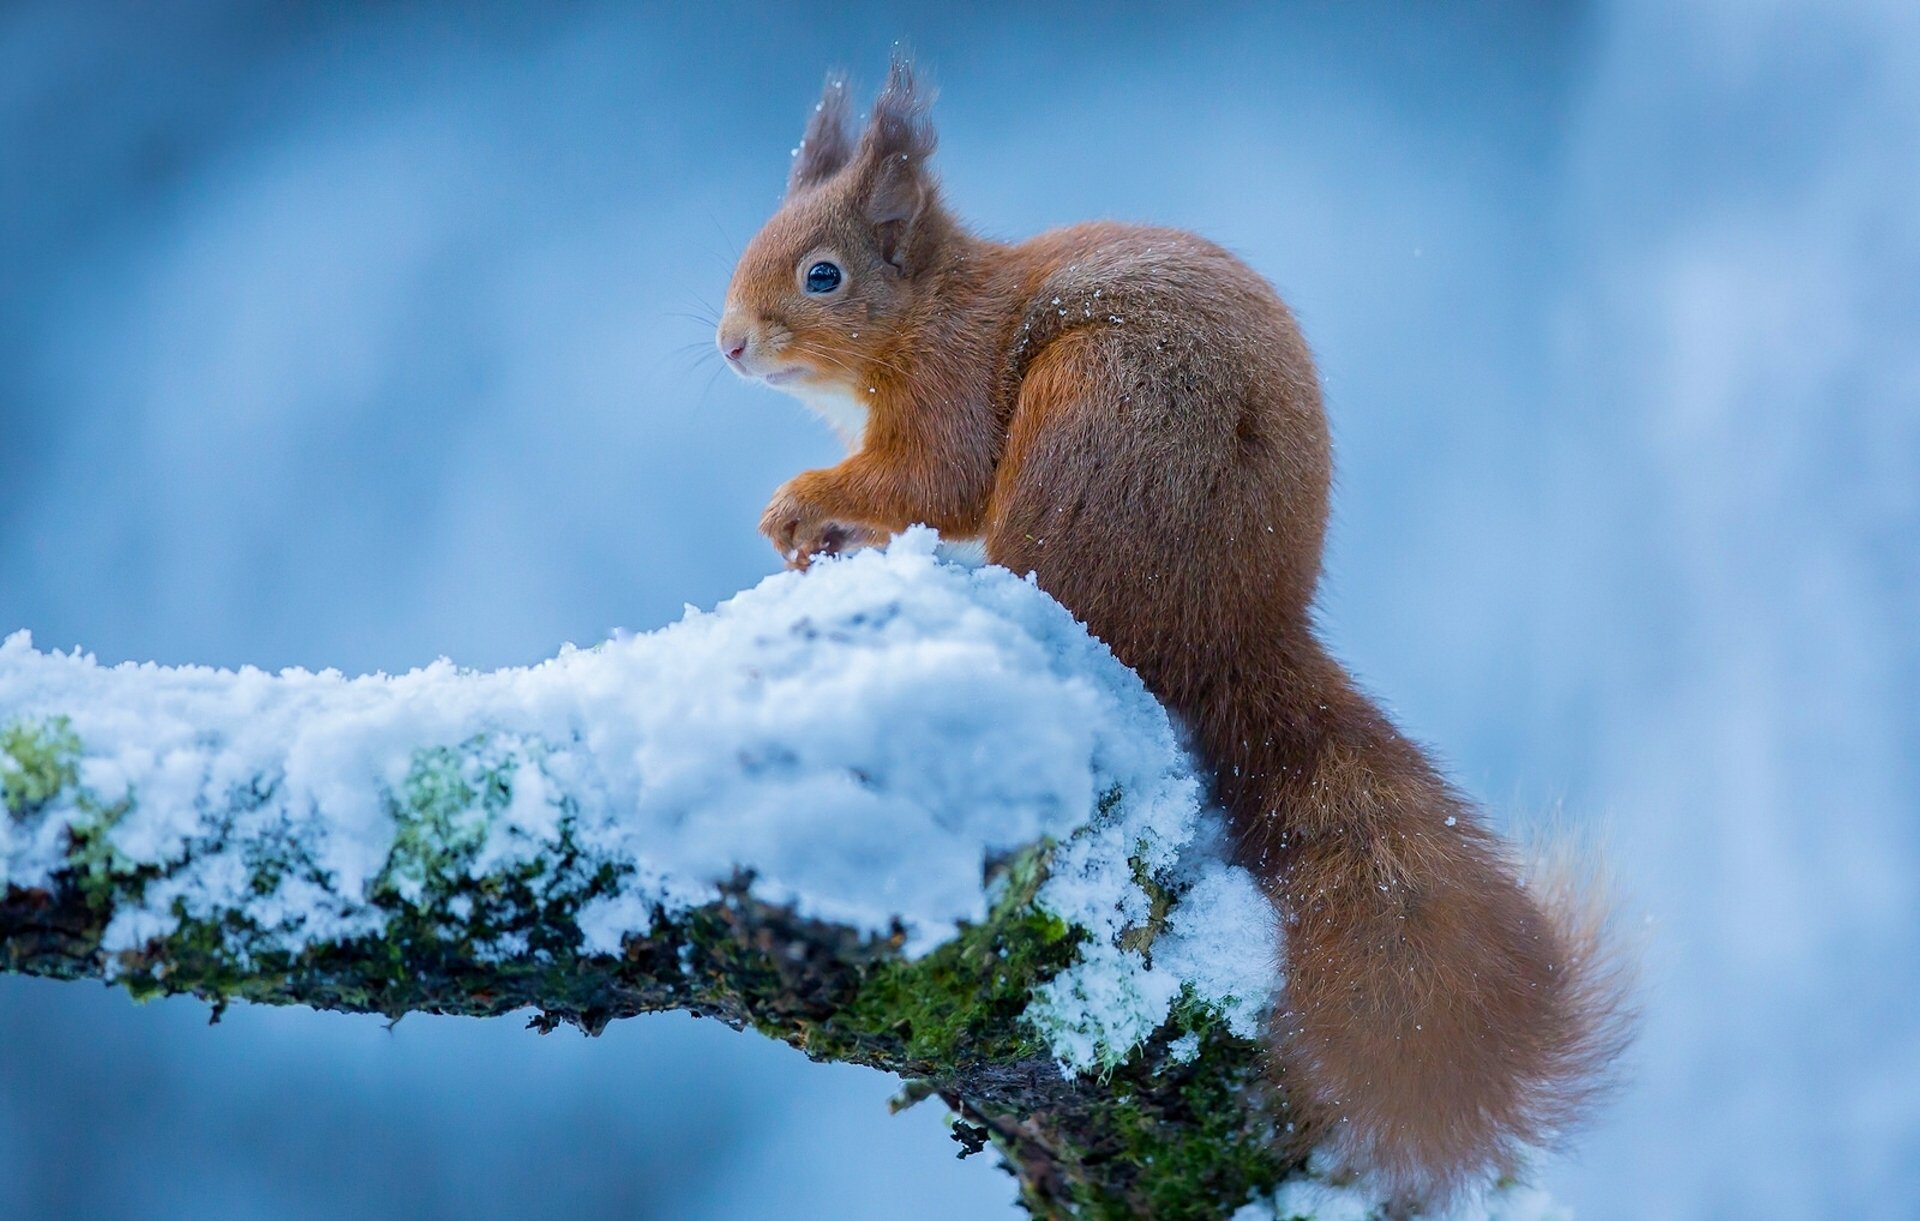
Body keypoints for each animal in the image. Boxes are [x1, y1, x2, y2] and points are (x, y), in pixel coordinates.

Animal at [716, 56, 1630, 1208]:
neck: (925, 309)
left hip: (1090, 423)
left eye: (823, 277)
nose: (730, 344)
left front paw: (804, 503)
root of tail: (1235, 629)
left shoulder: (949, 392)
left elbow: (934, 480)